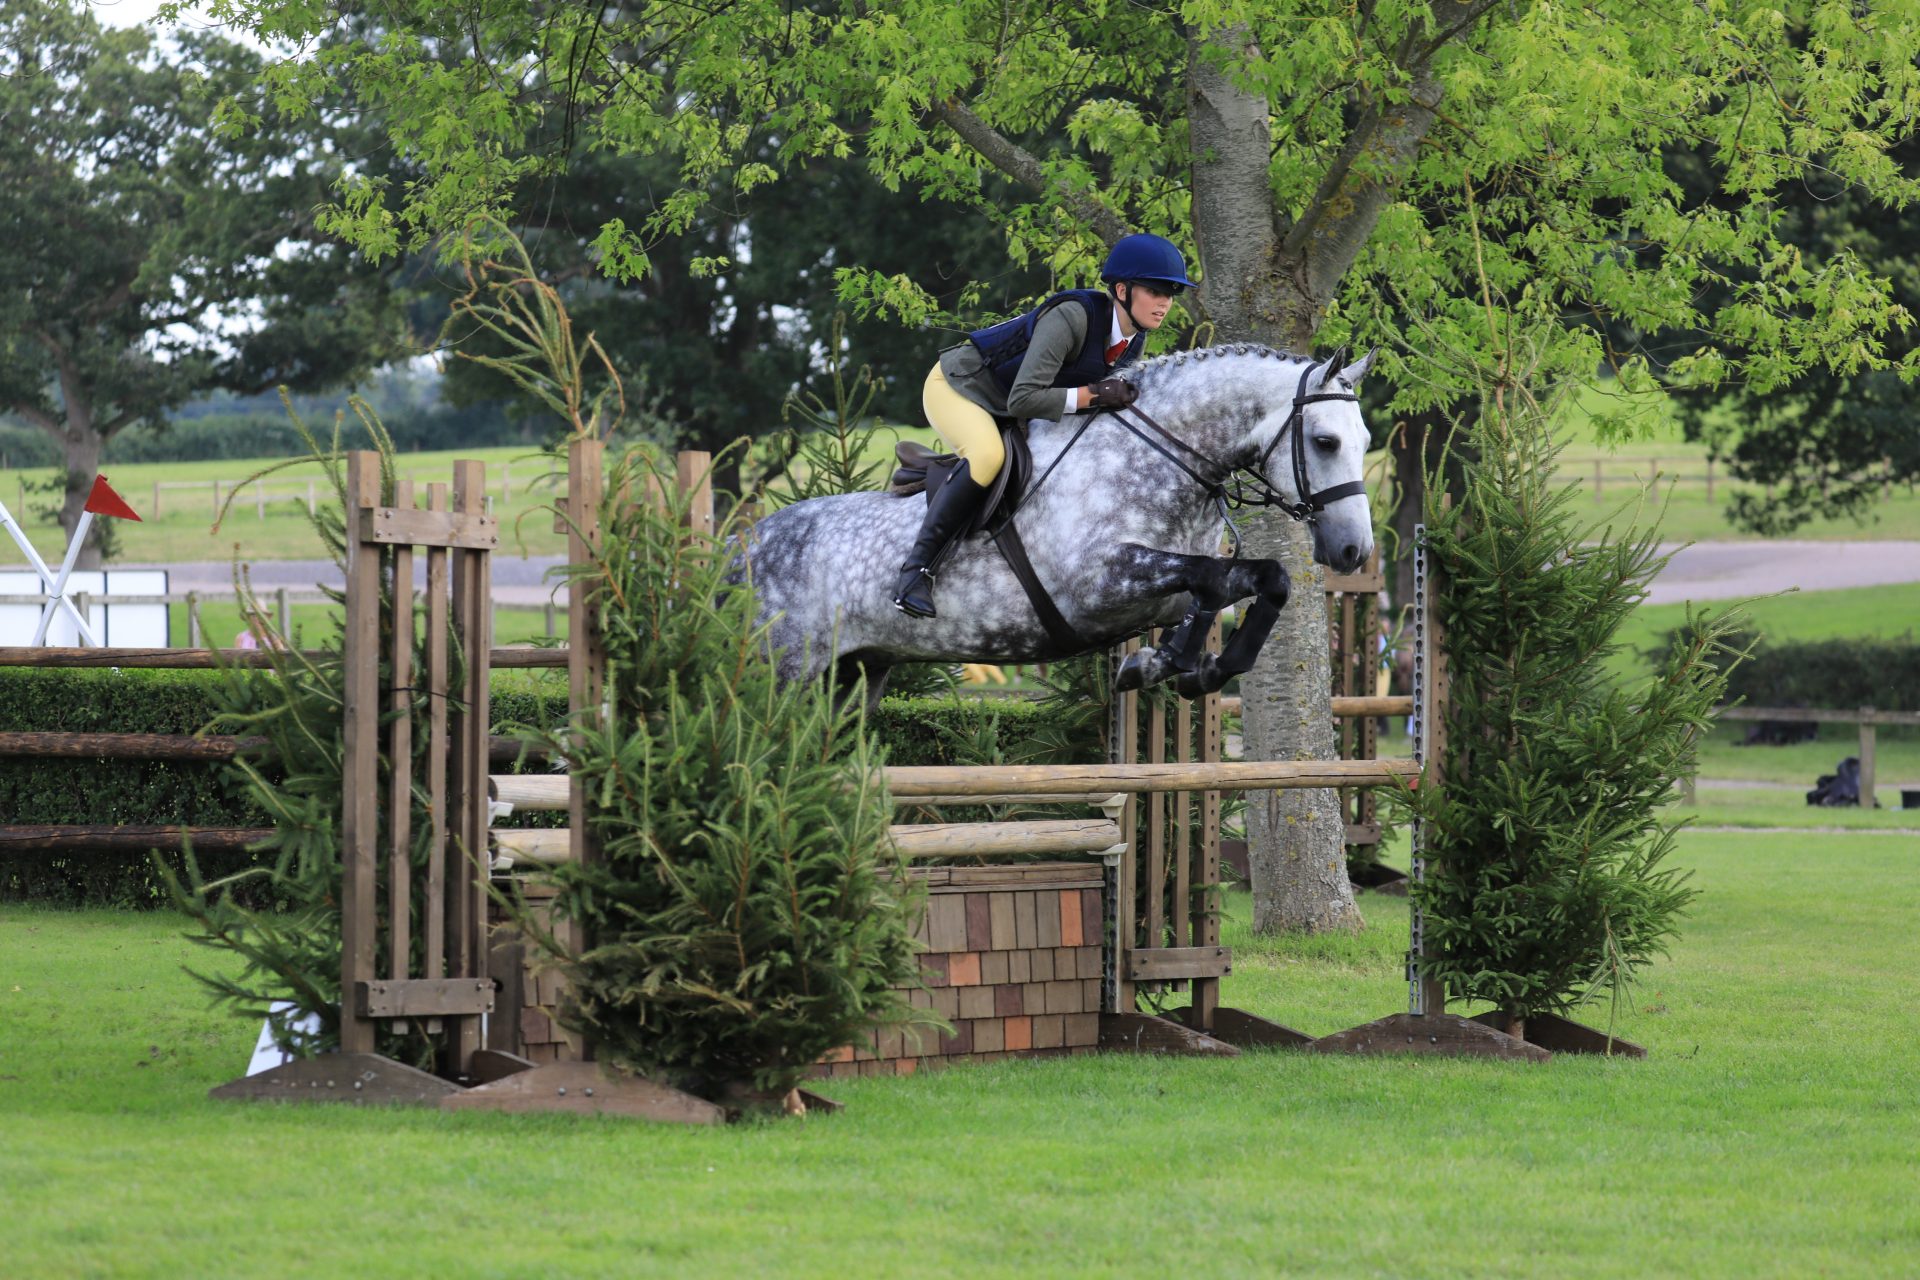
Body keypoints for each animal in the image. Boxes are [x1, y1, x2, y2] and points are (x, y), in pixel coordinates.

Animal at [740, 345, 1377, 700]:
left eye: (1366, 441)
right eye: (1326, 441)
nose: (1354, 552)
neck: (1157, 458)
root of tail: (739, 544)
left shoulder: (1164, 593)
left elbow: (1255, 582)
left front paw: (1187, 669)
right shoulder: (1097, 584)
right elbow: (1214, 580)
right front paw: (1166, 664)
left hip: (855, 678)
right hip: (781, 673)